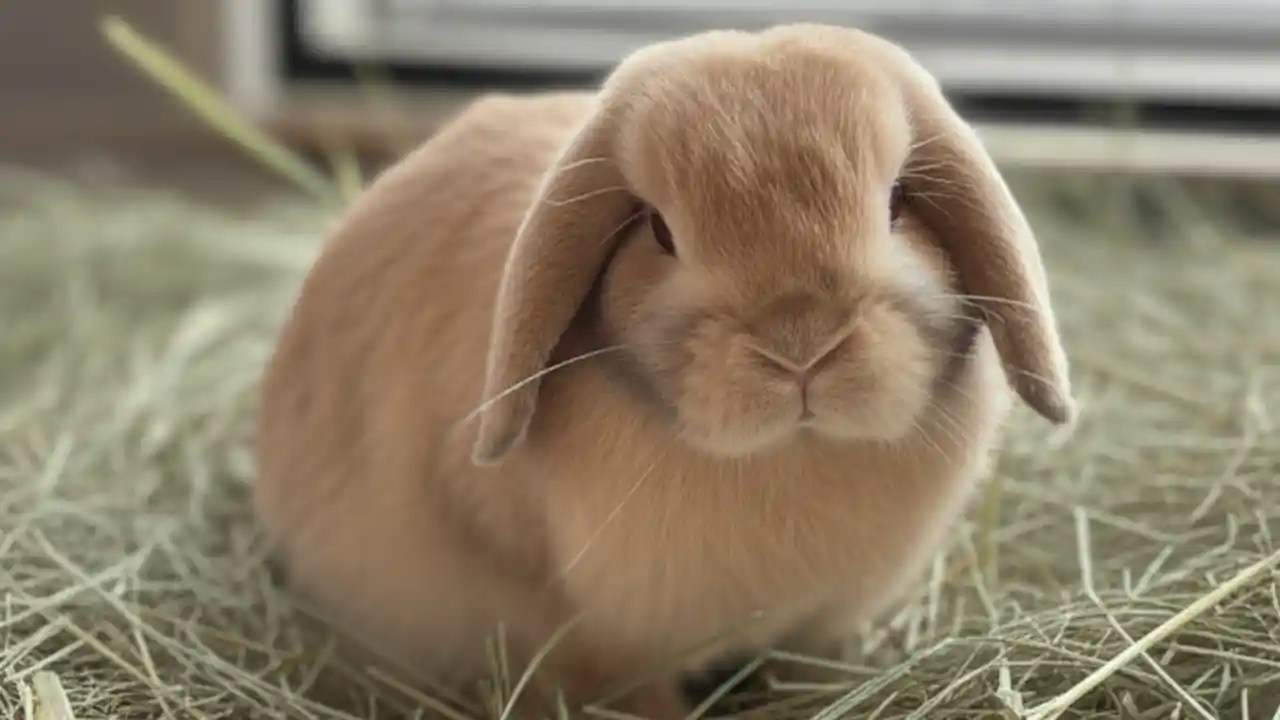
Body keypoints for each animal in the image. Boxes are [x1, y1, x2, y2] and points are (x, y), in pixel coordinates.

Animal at [254, 22, 1073, 719]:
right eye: (657, 230)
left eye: (899, 200)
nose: (801, 344)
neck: (789, 456)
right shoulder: (600, 642)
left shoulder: (823, 623)